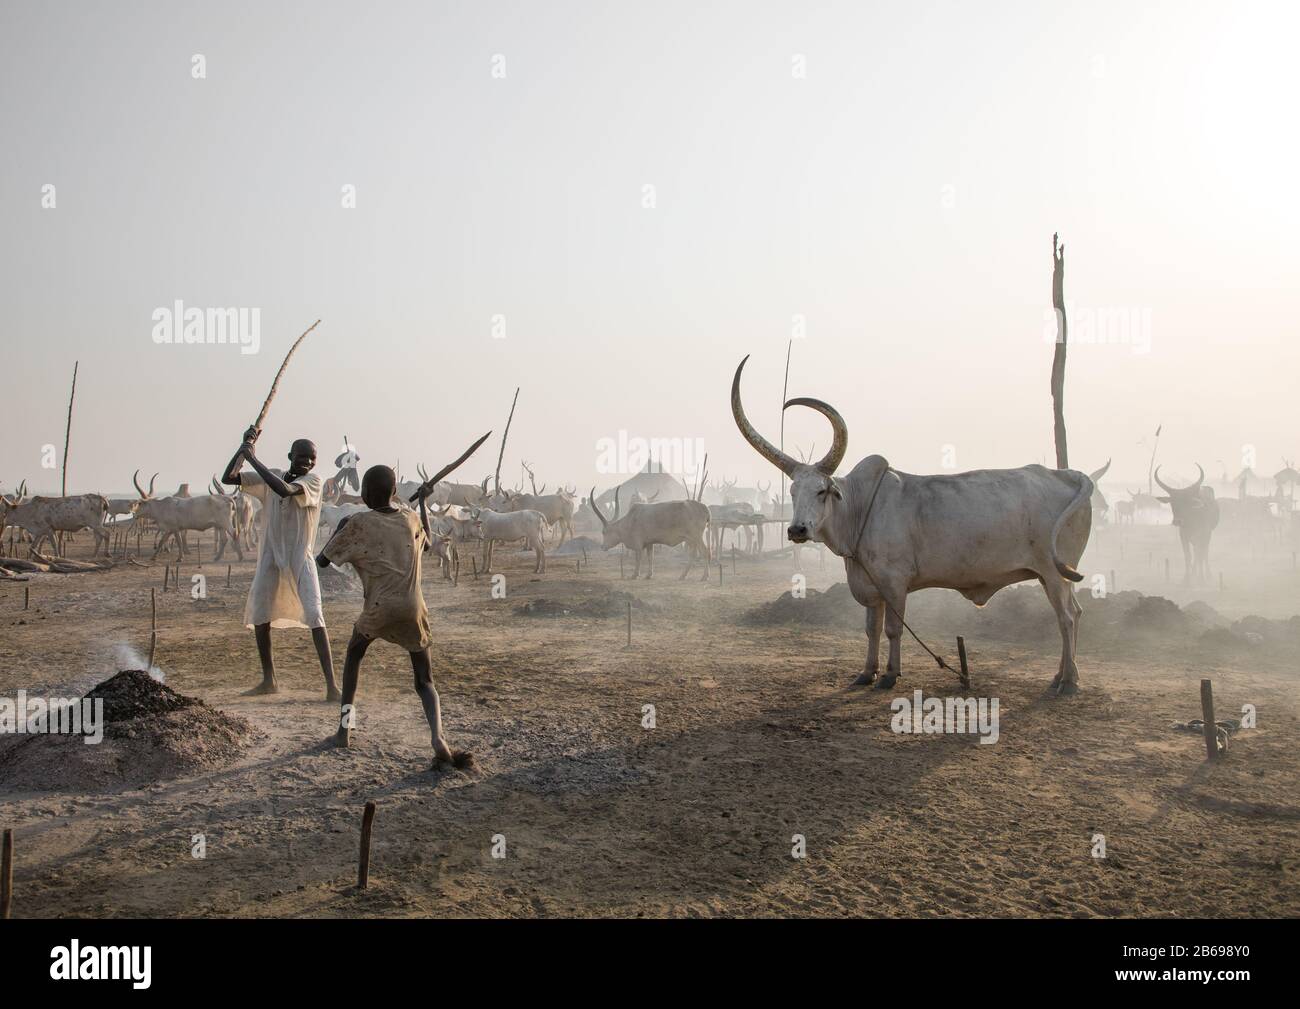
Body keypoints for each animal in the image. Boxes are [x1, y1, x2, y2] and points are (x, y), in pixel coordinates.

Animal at [732, 356, 1094, 694]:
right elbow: (871, 629)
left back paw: (1068, 681)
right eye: (793, 491)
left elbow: (893, 630)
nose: (797, 530)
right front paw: (866, 672)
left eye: (822, 491)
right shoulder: (872, 587)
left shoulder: (894, 583)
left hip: (1053, 573)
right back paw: (1062, 675)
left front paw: (890, 675)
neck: (860, 508)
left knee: (1066, 618)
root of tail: (1067, 474)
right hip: (1053, 576)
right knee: (1075, 612)